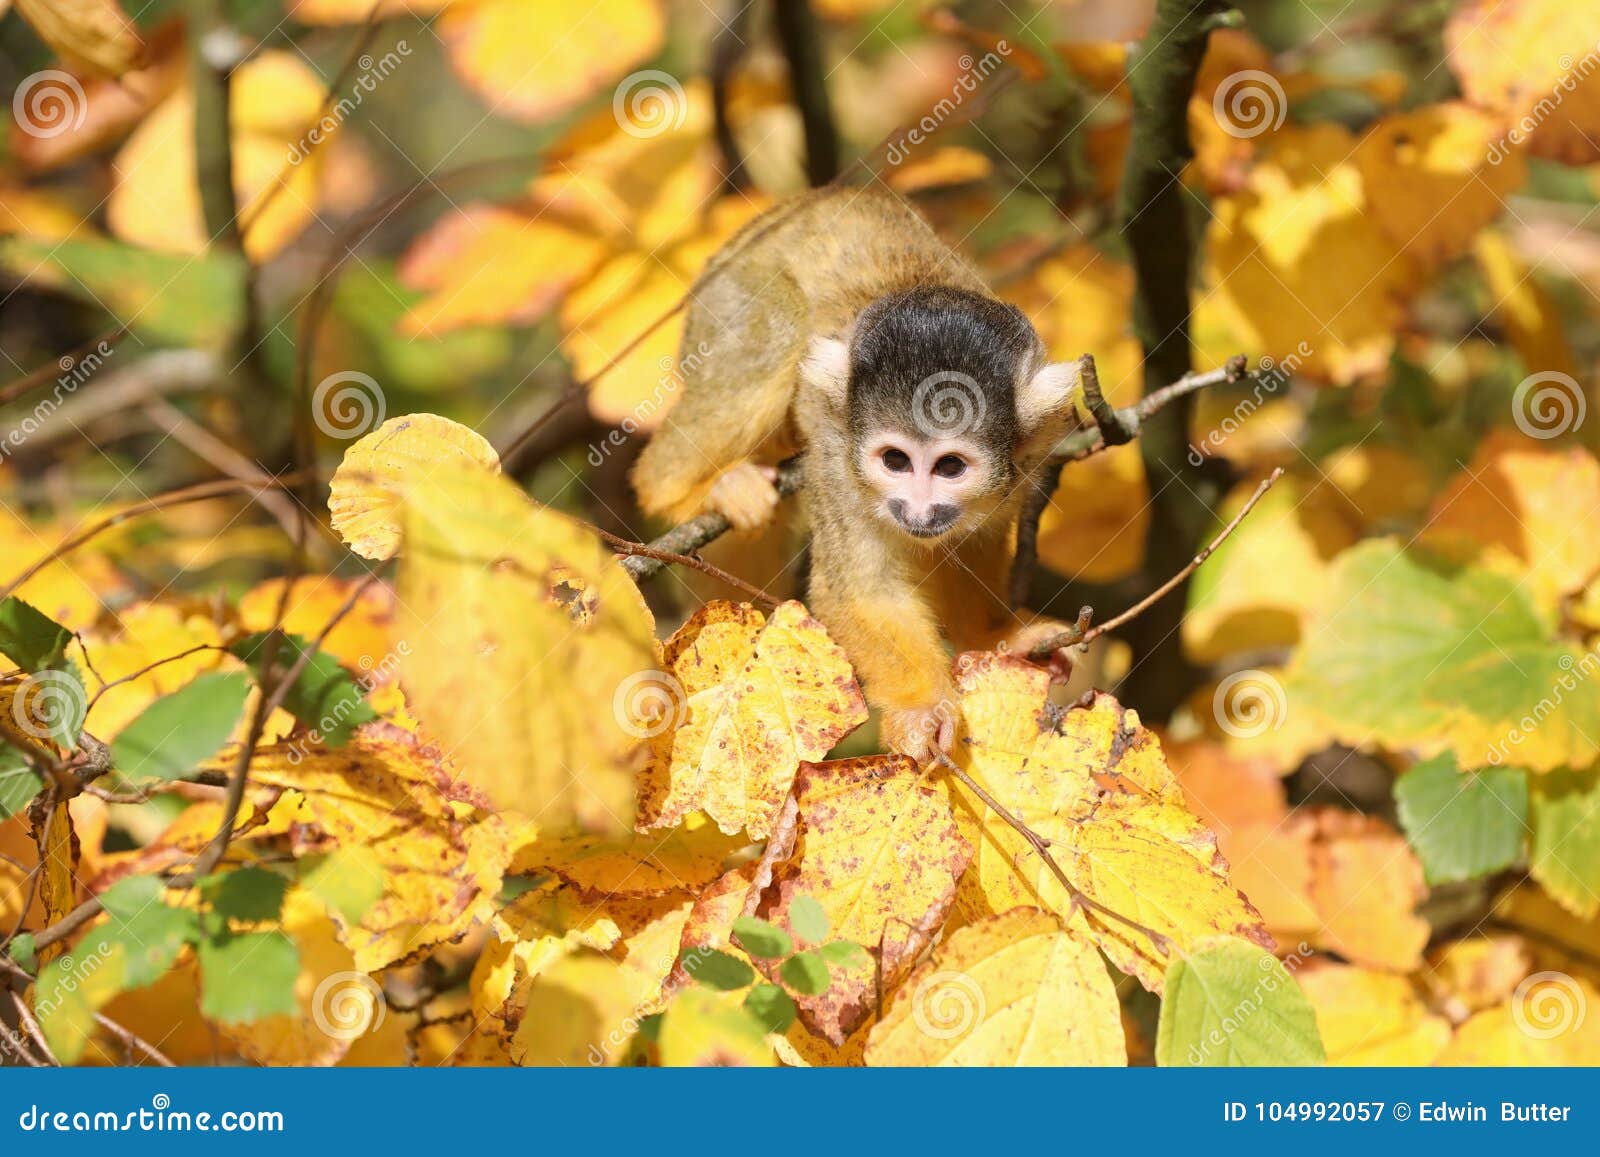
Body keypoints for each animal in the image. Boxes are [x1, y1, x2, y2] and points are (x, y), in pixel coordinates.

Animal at [632, 187, 1080, 760]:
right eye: (895, 460)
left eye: (951, 466)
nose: (919, 511)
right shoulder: (838, 460)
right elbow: (859, 591)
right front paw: (920, 708)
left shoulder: (1028, 460)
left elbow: (969, 547)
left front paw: (995, 633)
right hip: (722, 308)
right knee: (778, 328)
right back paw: (689, 487)